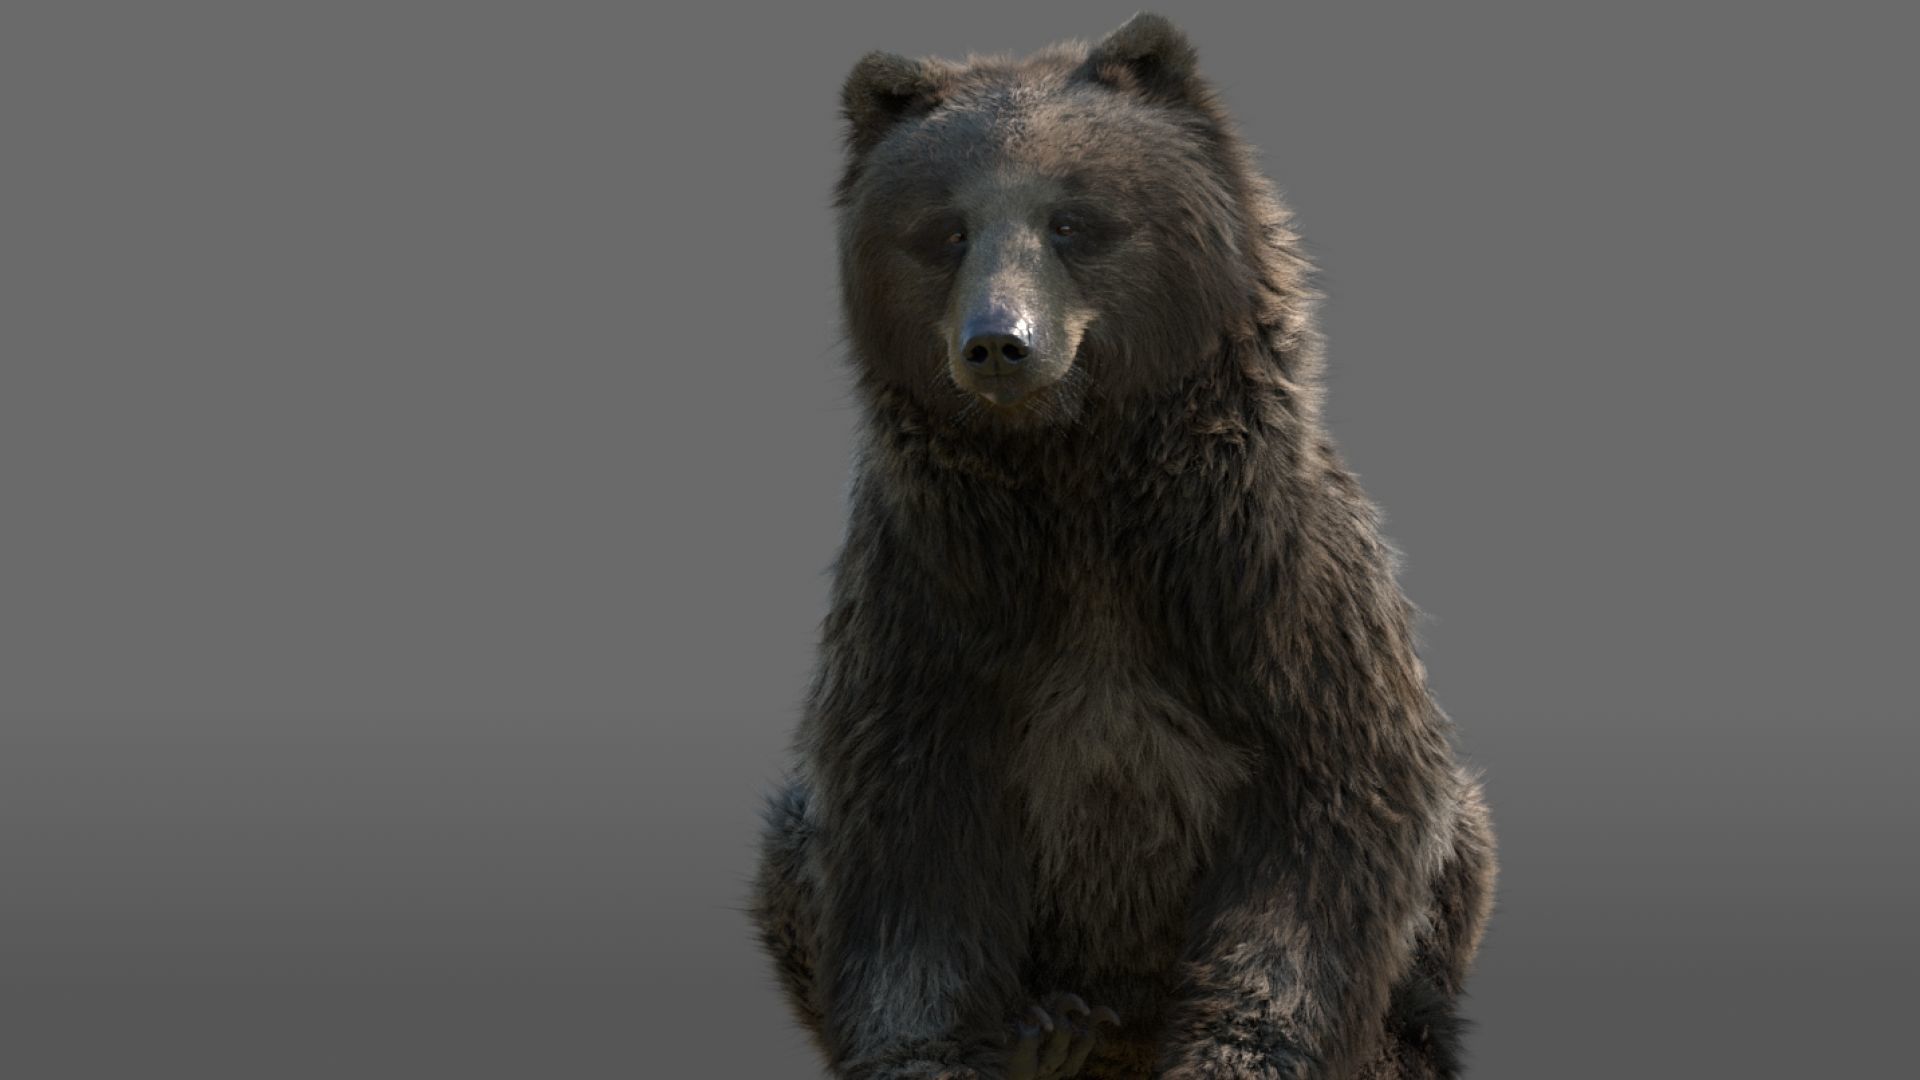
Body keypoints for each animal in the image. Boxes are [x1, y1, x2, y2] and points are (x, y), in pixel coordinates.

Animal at [750, 13, 1496, 1079]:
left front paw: (1241, 1052)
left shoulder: (1265, 587)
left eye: (1073, 220)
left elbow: (1333, 809)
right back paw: (1052, 1028)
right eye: (944, 231)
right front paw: (934, 1048)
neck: (1082, 490)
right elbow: (906, 835)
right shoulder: (933, 603)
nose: (998, 342)